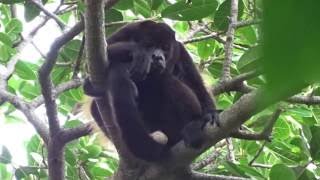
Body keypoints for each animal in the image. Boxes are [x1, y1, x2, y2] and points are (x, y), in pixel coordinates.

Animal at [84, 20, 219, 161]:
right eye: (149, 45)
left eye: (165, 47)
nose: (157, 57)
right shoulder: (126, 30)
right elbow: (91, 61)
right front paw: (138, 52)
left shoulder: (180, 49)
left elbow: (196, 84)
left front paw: (211, 114)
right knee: (95, 106)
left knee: (167, 80)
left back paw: (192, 125)